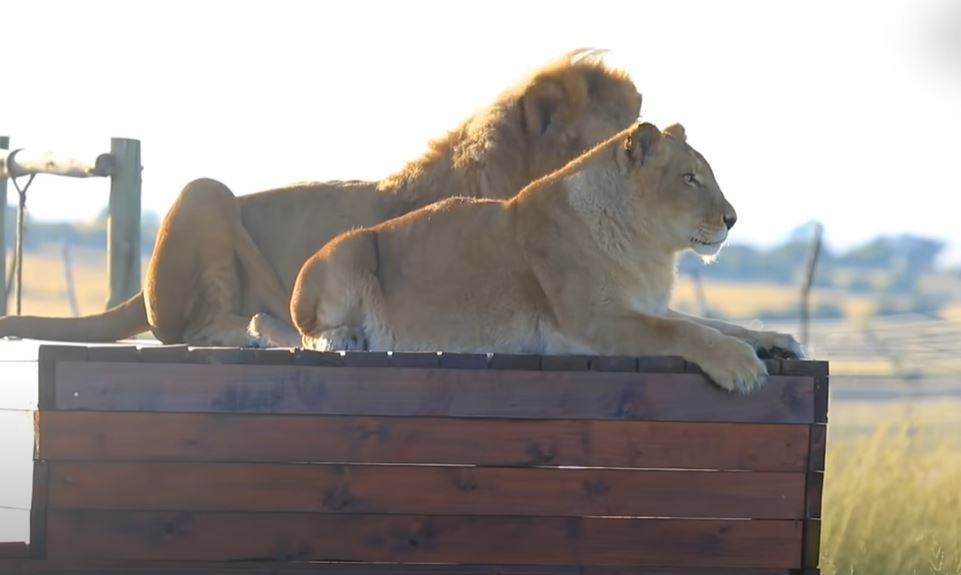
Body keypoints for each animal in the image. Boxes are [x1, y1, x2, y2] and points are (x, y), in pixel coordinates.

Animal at [285, 121, 804, 392]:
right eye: (690, 178)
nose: (733, 219)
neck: (650, 249)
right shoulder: (593, 321)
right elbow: (684, 331)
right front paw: (741, 366)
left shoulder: (643, 305)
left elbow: (717, 324)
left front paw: (778, 341)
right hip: (351, 246)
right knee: (308, 332)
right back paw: (346, 338)